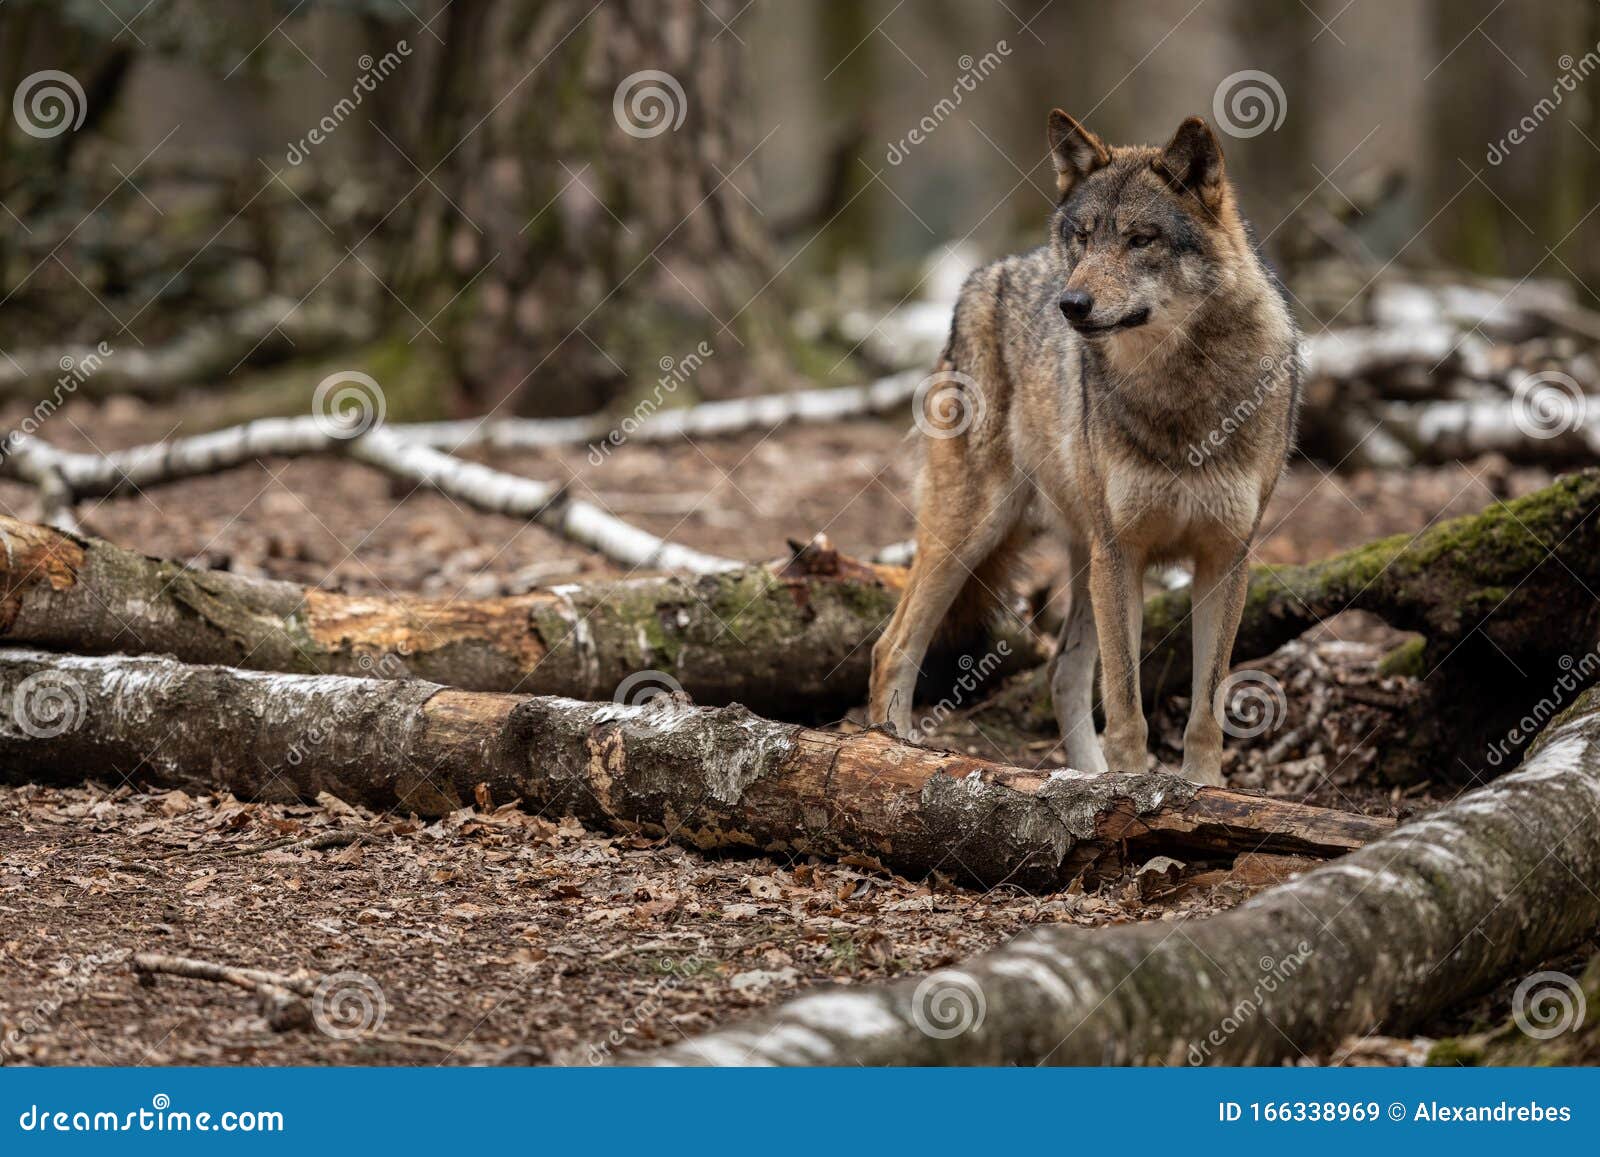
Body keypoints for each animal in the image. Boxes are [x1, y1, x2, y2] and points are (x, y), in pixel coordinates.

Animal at [868, 111, 1300, 786]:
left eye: (1141, 240)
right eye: (1084, 236)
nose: (1070, 304)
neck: (1179, 393)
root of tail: (984, 276)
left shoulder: (1224, 558)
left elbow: (1206, 709)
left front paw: (1205, 791)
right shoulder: (1123, 555)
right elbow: (1126, 707)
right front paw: (1131, 787)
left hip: (1079, 555)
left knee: (1060, 670)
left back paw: (1083, 775)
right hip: (977, 531)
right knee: (892, 647)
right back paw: (894, 750)